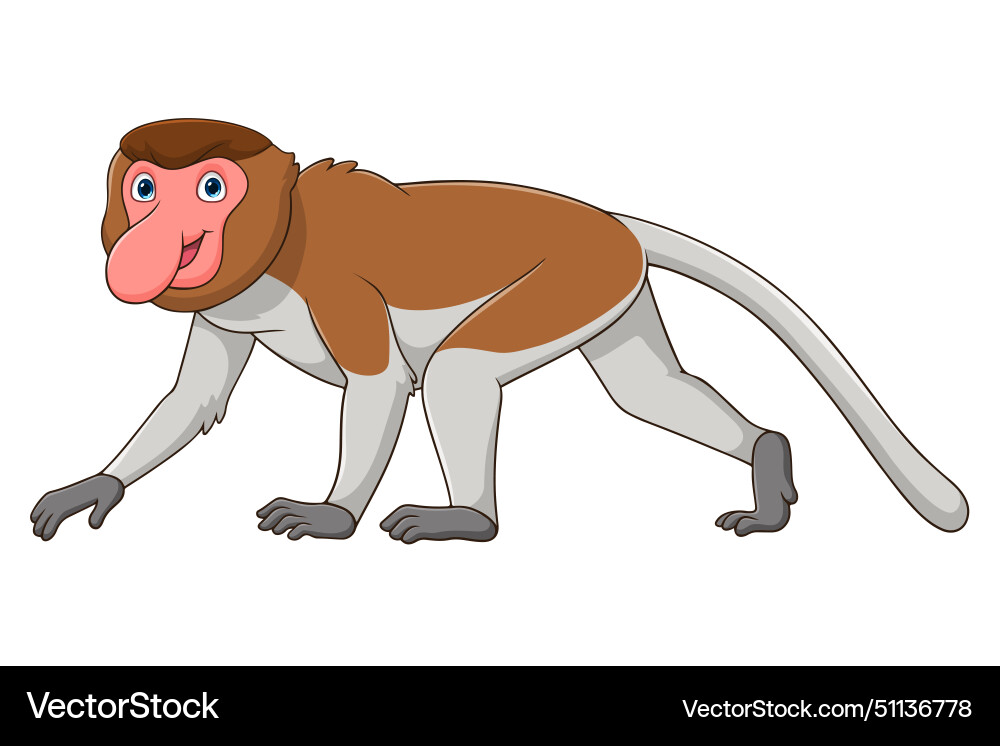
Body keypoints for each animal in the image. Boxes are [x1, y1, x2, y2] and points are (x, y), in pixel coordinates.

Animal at [30, 118, 968, 543]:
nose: (153, 235)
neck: (279, 236)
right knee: (648, 390)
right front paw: (95, 487)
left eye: (211, 188)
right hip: (613, 290)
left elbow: (379, 381)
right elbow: (193, 398)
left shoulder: (331, 281)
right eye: (144, 189)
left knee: (458, 371)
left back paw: (469, 523)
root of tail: (605, 220)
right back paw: (768, 462)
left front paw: (332, 515)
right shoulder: (224, 304)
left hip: (576, 278)